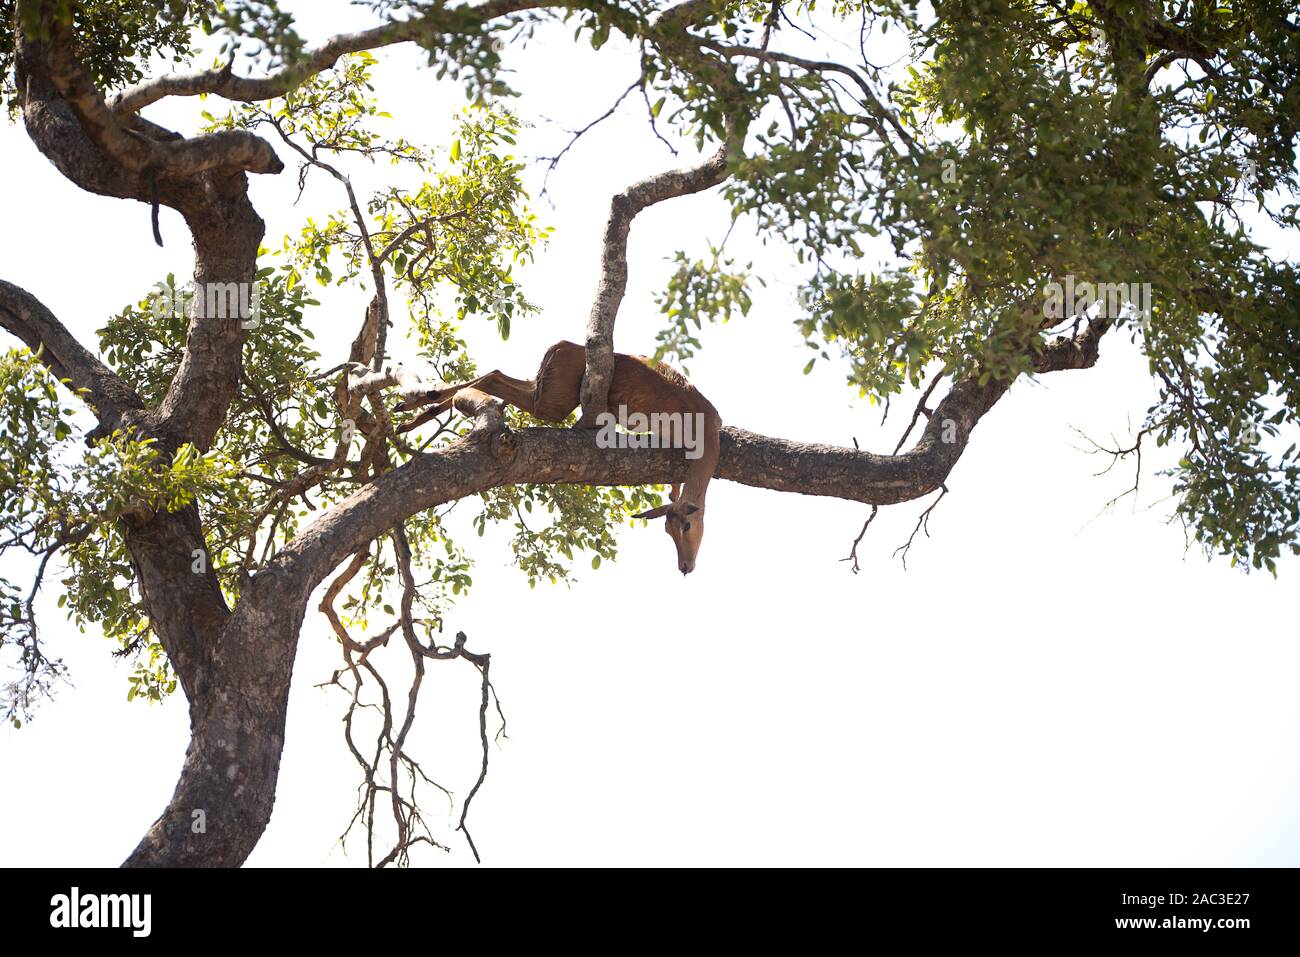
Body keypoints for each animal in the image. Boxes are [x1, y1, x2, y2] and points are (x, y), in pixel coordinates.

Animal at [397, 340, 721, 574]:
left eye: (682, 526)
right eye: (672, 529)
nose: (685, 566)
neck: (706, 423)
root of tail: (564, 346)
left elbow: (673, 491)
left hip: (541, 392)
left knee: (494, 376)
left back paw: (412, 411)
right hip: (553, 404)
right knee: (491, 380)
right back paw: (417, 406)